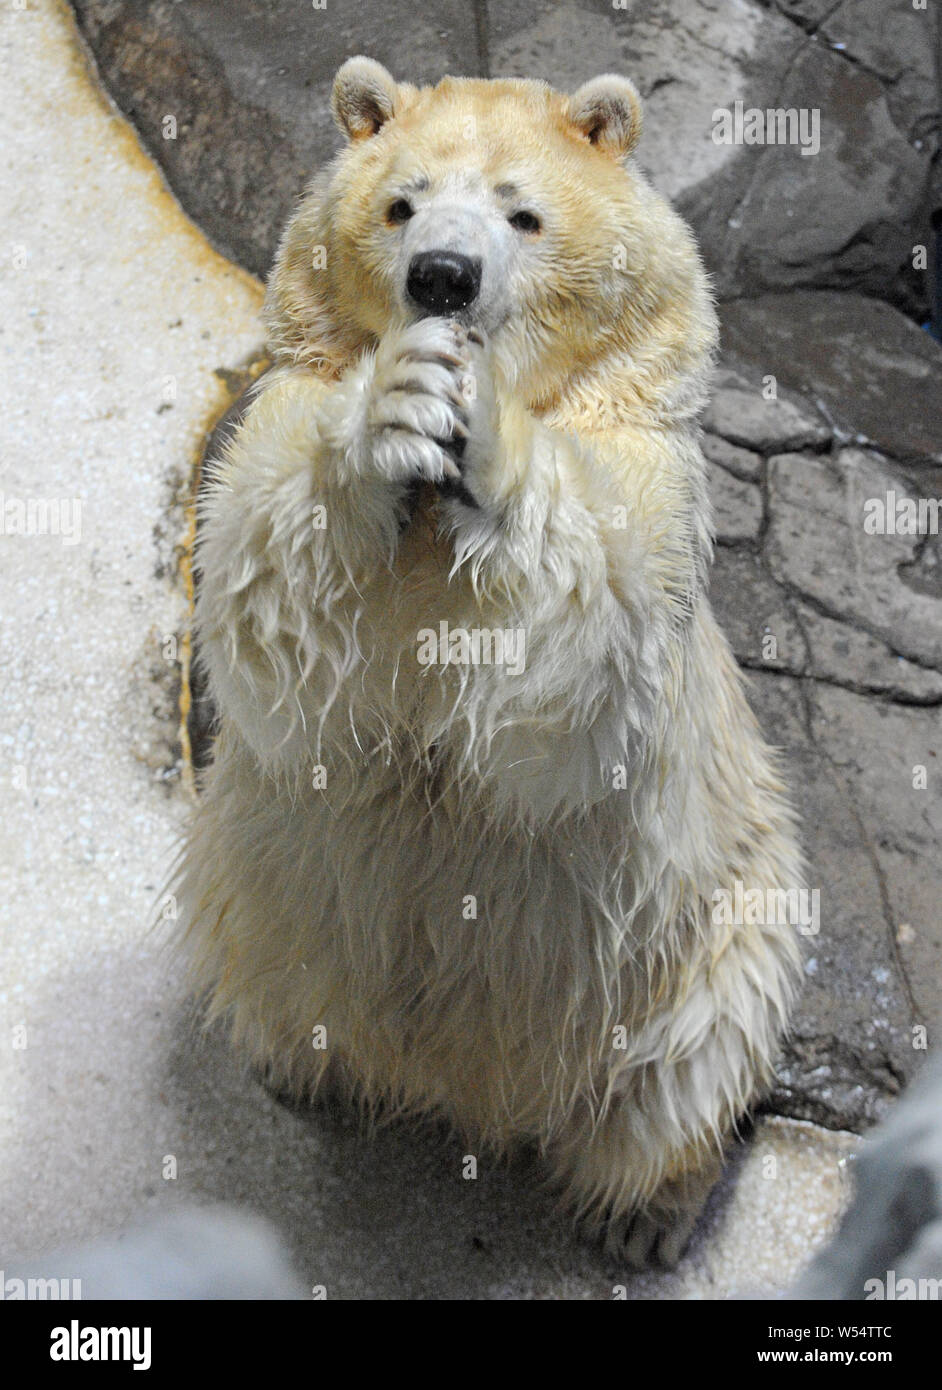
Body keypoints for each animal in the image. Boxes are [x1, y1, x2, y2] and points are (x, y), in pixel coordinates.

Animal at [176, 56, 804, 1268]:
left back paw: (643, 1213)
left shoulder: (644, 469)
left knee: (695, 1061)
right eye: (400, 203)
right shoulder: (282, 411)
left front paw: (486, 437)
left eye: (524, 211)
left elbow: (580, 663)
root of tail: (472, 1097)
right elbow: (267, 612)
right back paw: (294, 1066)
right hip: (253, 885)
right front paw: (400, 405)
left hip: (710, 930)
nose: (444, 279)